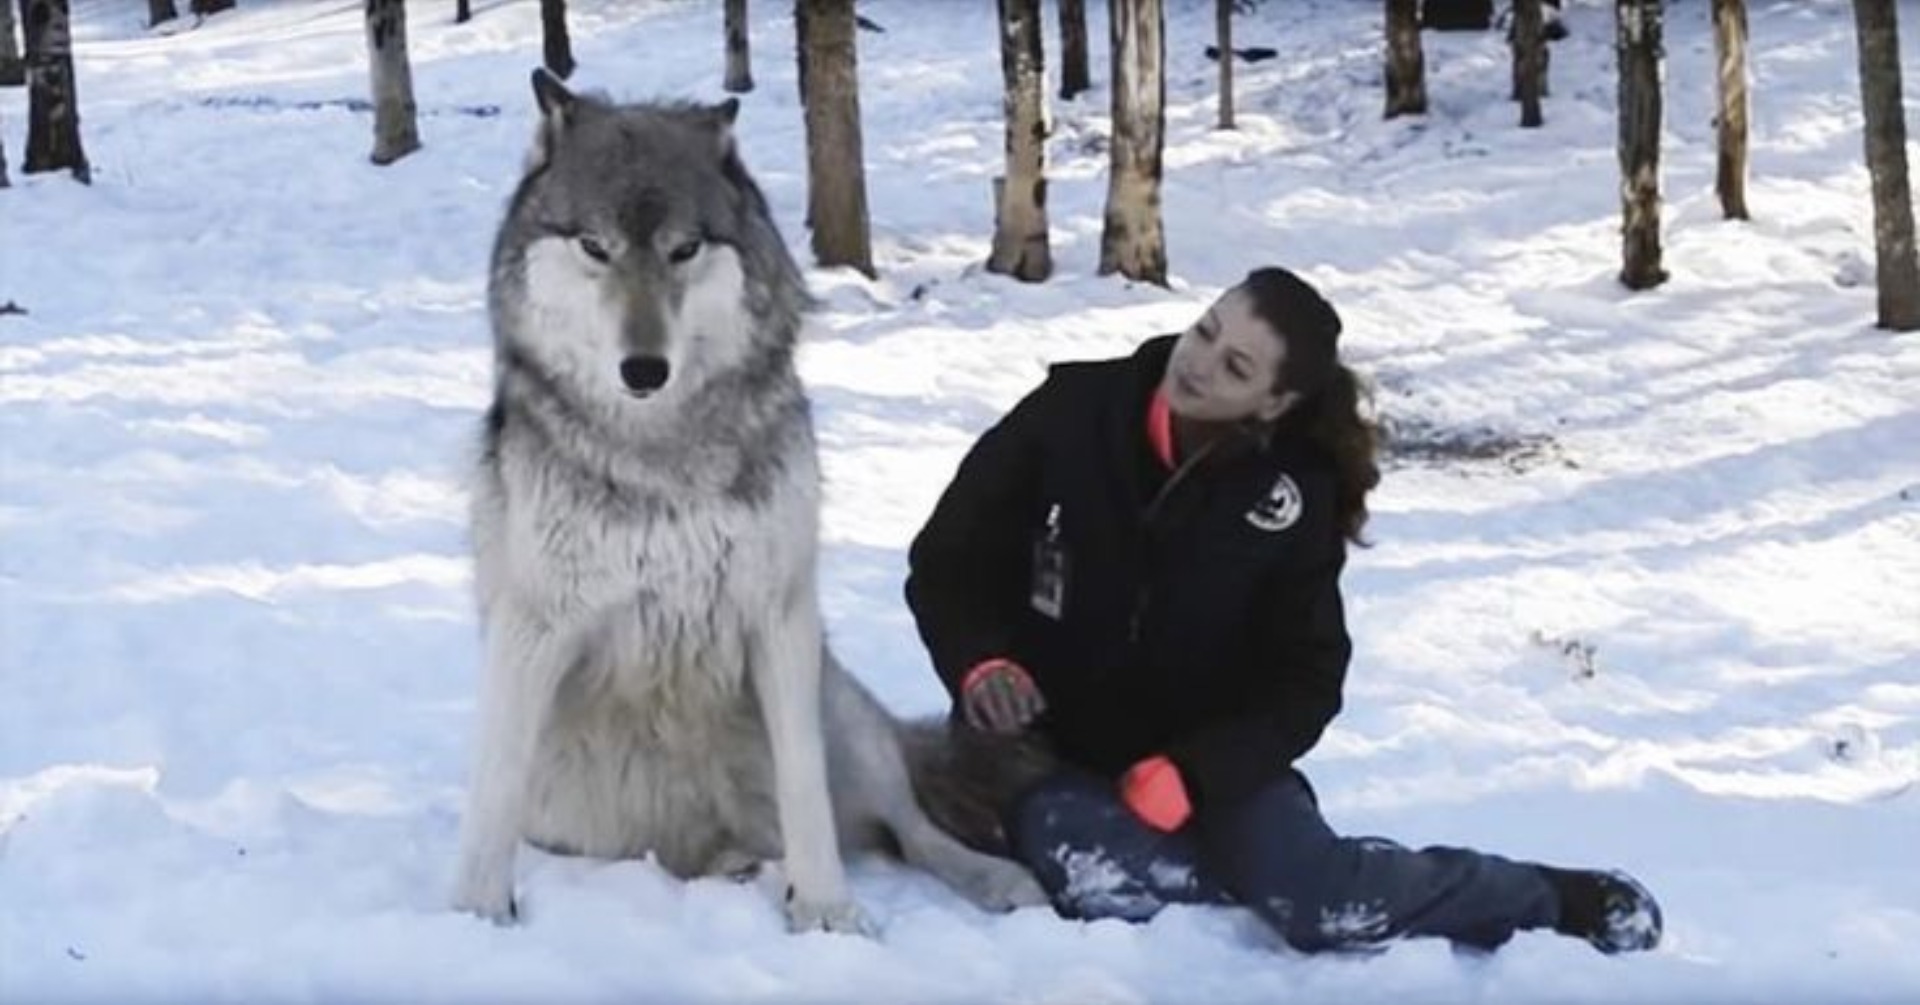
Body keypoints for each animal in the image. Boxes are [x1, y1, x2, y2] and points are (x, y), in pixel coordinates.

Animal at [451, 69, 1049, 934]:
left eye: (684, 249)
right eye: (595, 248)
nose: (643, 369)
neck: (661, 452)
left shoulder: (779, 614)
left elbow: (808, 791)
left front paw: (828, 916)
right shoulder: (534, 627)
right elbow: (491, 788)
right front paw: (475, 914)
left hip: (843, 708)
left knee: (909, 828)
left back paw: (993, 879)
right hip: (570, 806)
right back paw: (740, 867)